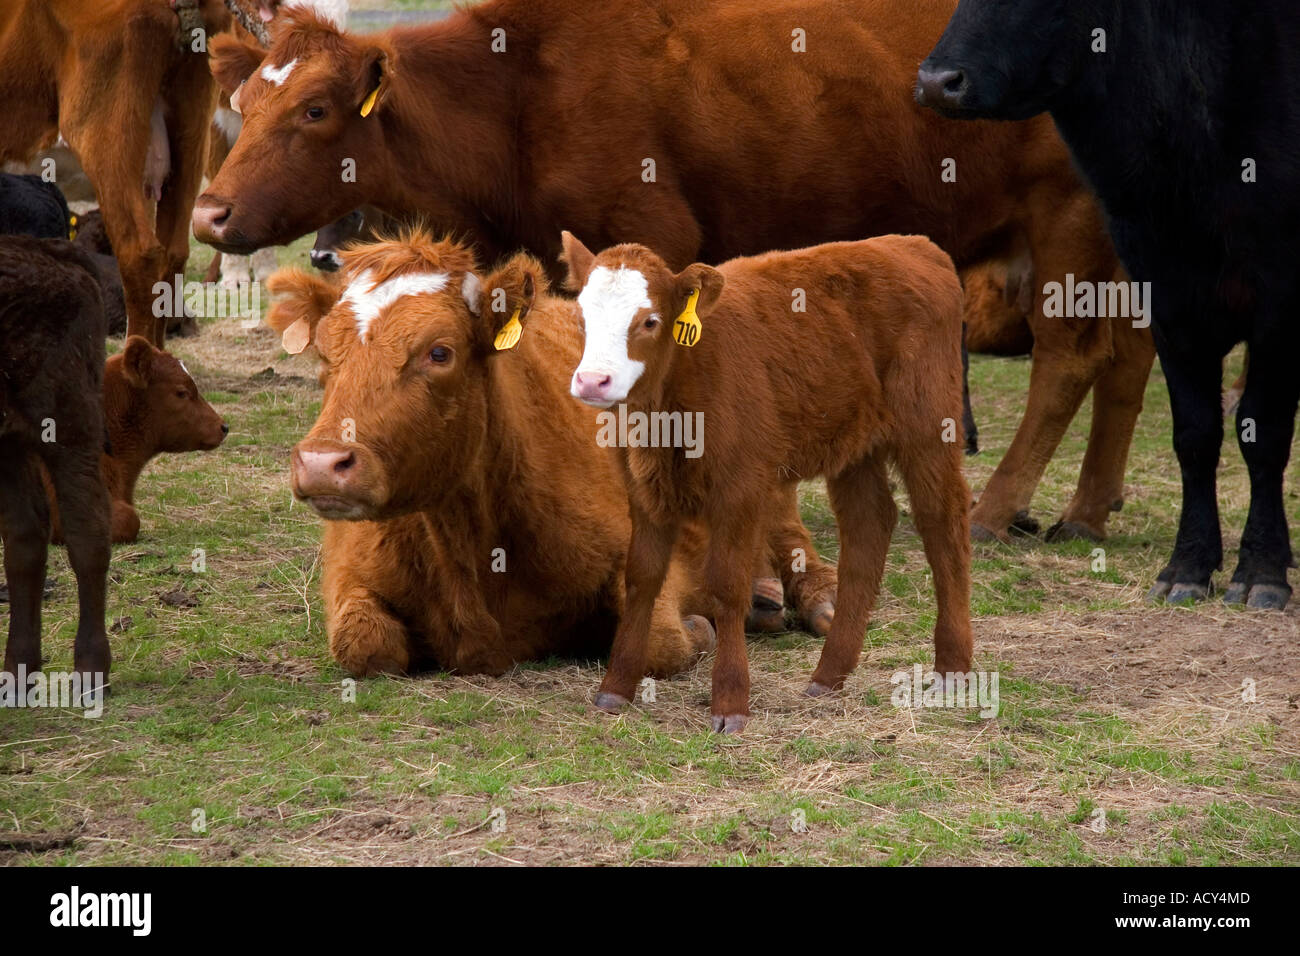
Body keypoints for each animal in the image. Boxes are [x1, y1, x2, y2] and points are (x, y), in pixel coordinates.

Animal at [192, 0, 1149, 548]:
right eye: (244, 103)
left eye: (316, 110)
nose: (210, 214)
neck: (520, 92)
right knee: (1130, 359)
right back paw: (1085, 509)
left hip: (1067, 223)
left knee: (1070, 360)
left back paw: (994, 510)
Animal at [267, 231, 837, 677]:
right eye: (324, 353)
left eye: (439, 352)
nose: (322, 465)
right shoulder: (348, 573)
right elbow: (364, 645)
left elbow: (659, 642)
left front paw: (699, 626)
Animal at [561, 231, 973, 733]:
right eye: (582, 317)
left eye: (650, 320)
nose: (592, 381)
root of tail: (913, 244)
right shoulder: (644, 489)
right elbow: (642, 577)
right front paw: (615, 688)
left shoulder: (741, 487)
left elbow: (727, 586)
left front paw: (730, 703)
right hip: (856, 444)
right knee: (869, 525)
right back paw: (828, 675)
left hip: (929, 423)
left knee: (942, 521)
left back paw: (952, 668)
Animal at [918, 0, 1300, 609]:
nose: (937, 82)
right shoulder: (1164, 296)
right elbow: (1195, 434)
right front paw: (1189, 565)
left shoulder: (1279, 303)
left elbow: (1262, 433)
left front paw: (1262, 569)